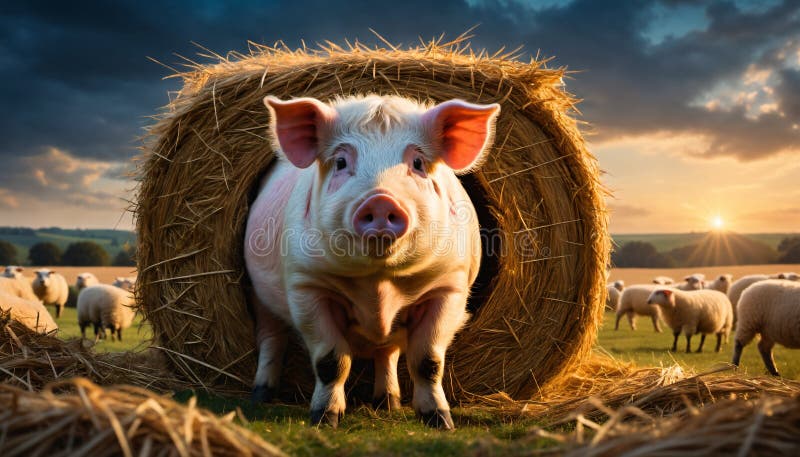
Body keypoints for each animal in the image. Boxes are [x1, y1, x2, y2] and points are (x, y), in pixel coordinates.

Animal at [244, 94, 500, 430]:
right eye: (341, 162)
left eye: (418, 163)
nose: (380, 200)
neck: (378, 282)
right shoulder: (307, 285)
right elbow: (330, 360)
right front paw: (325, 420)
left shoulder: (449, 286)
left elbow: (428, 361)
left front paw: (441, 422)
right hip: (259, 295)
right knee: (271, 339)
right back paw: (260, 396)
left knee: (387, 351)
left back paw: (388, 403)